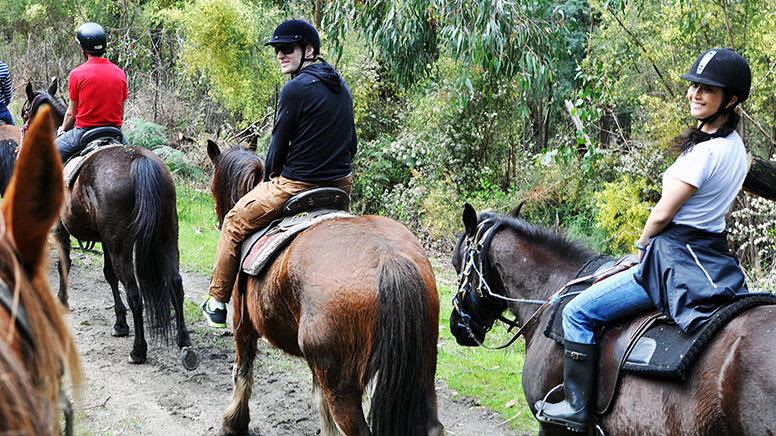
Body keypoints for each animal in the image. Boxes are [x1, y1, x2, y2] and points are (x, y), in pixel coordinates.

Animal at [23, 81, 193, 365]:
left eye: (25, 112)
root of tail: (140, 161)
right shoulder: (104, 240)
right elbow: (108, 275)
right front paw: (120, 322)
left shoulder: (60, 230)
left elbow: (65, 263)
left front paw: (61, 301)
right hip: (167, 234)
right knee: (176, 284)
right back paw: (184, 341)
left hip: (121, 245)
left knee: (135, 292)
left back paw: (138, 350)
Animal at [206, 140, 444, 436]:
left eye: (213, 185)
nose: (219, 219)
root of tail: (389, 258)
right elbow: (319, 401)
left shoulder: (244, 322)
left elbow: (242, 370)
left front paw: (234, 421)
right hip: (422, 370)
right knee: (433, 426)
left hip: (342, 385)